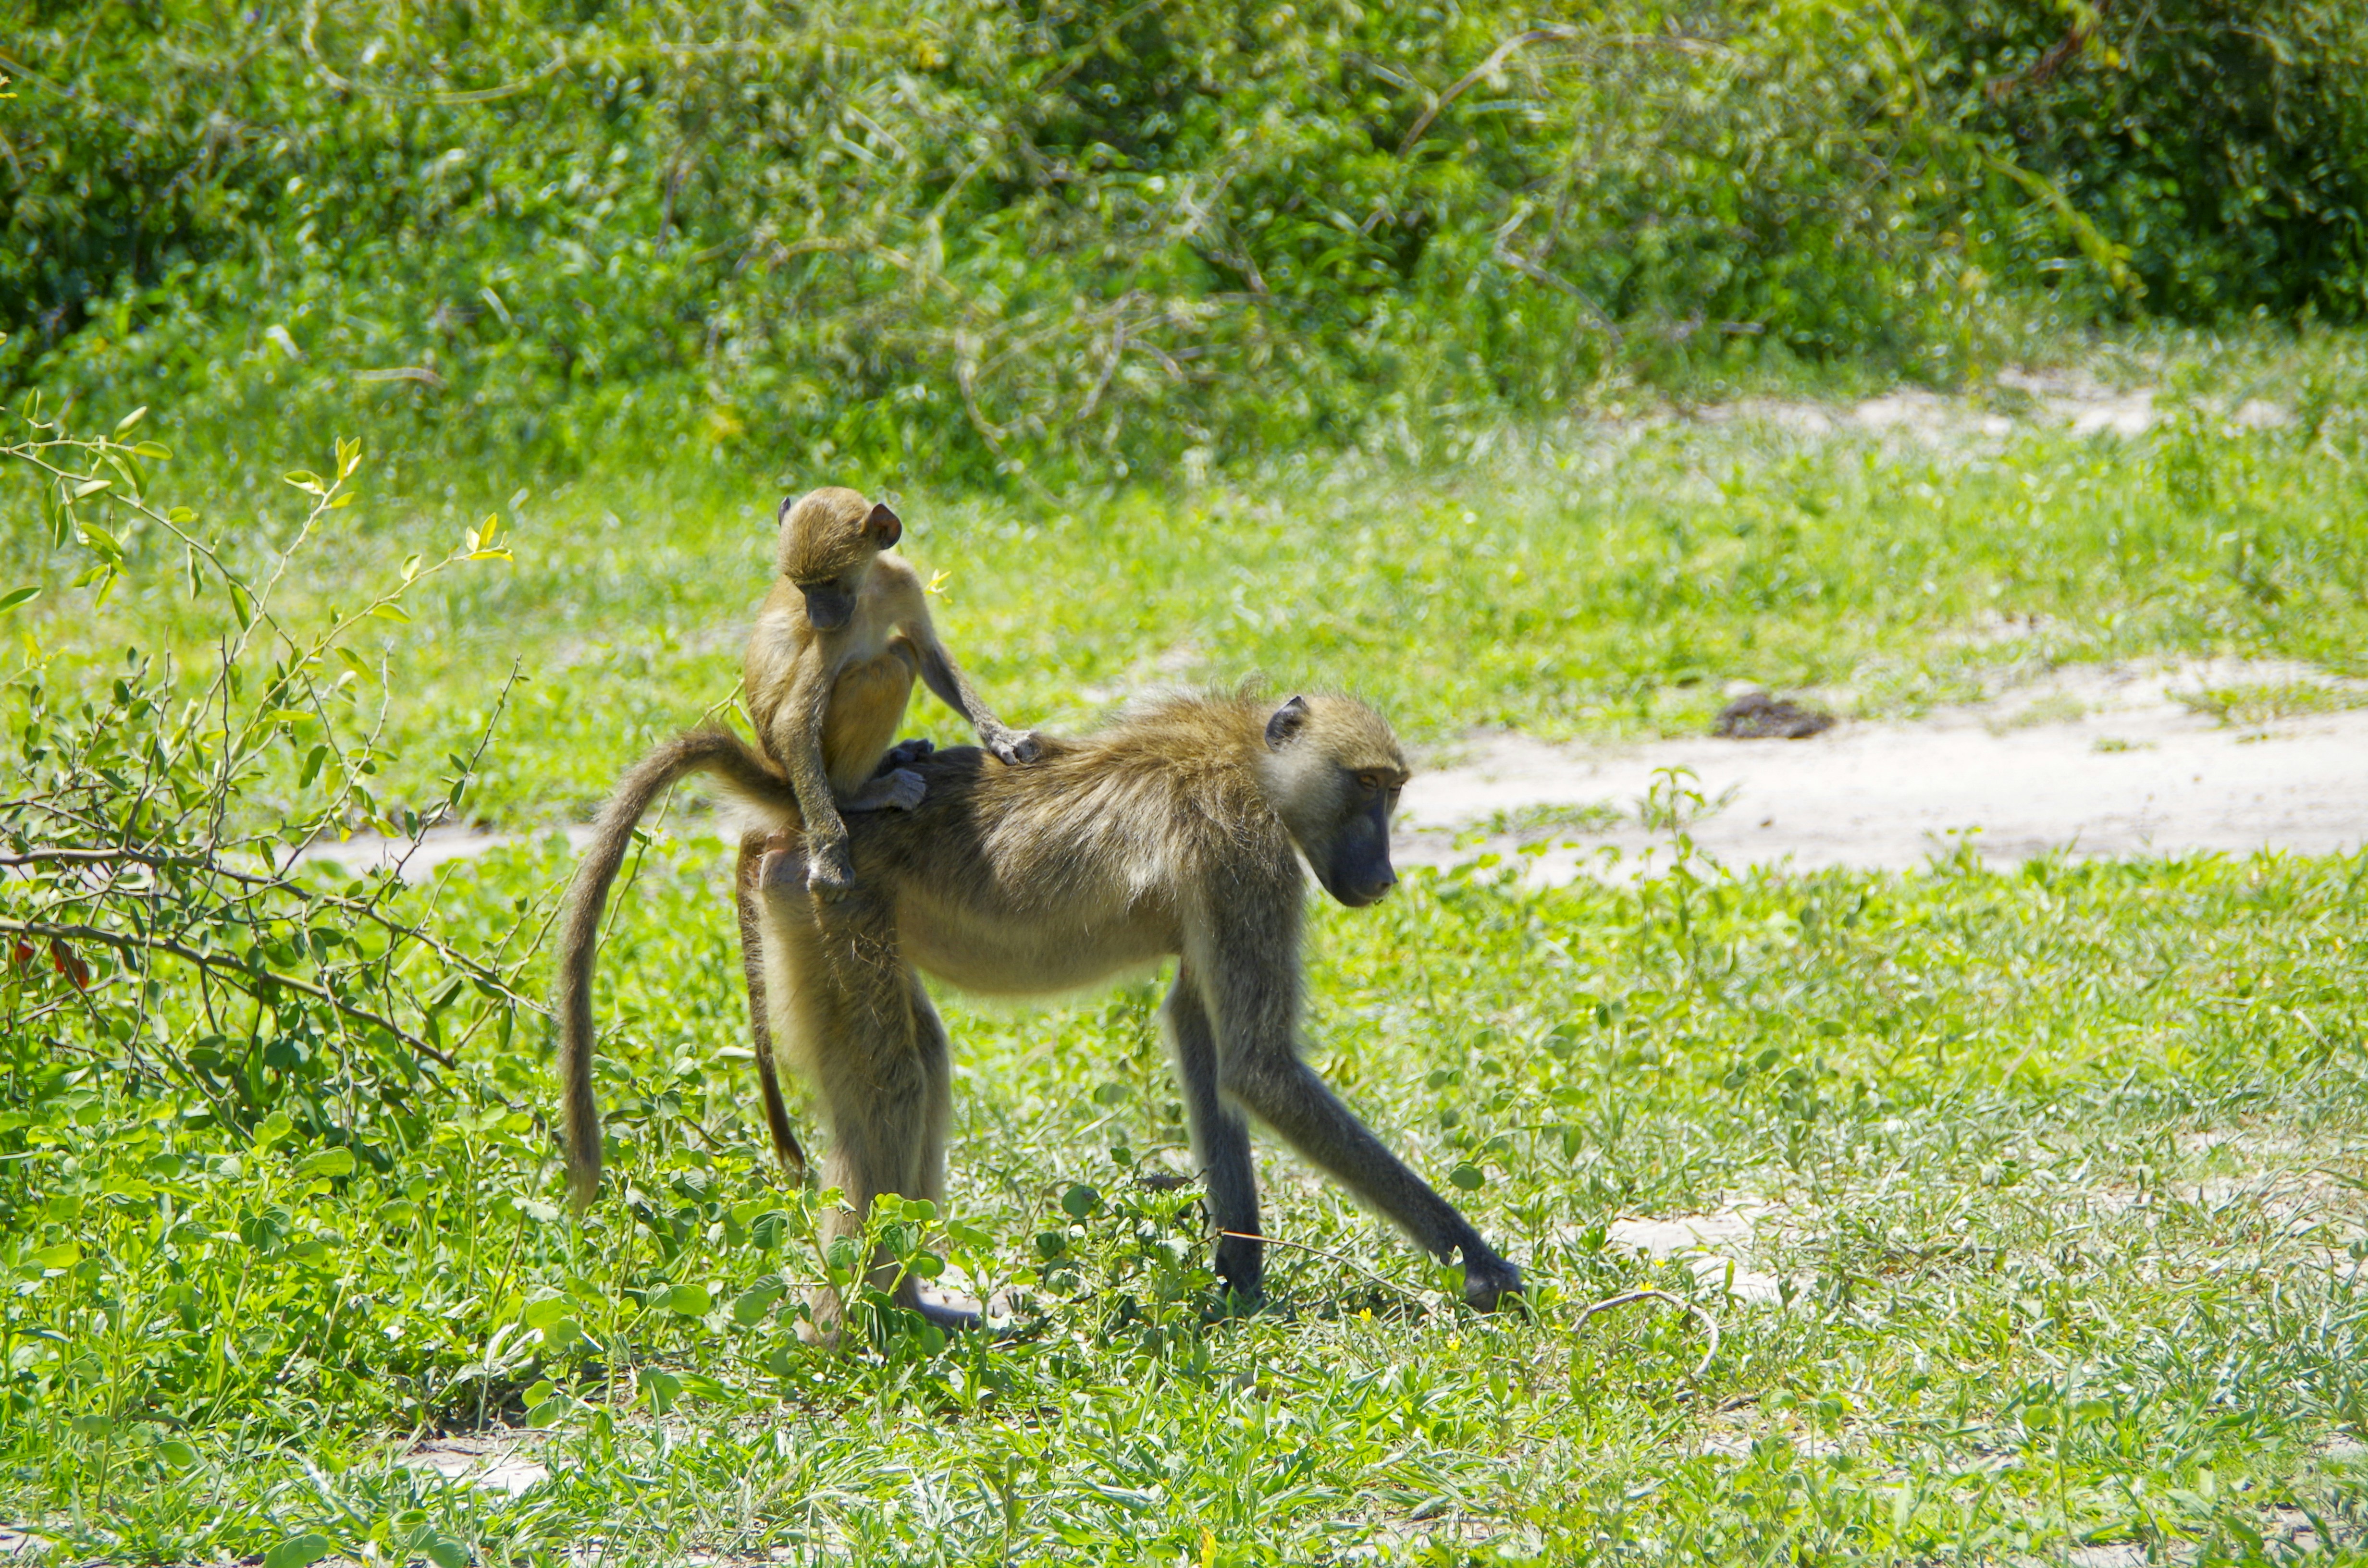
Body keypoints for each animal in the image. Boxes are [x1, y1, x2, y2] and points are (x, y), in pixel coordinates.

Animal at [558, 688, 1523, 1333]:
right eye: (1367, 788)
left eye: (1392, 792)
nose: (1384, 874)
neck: (1243, 756)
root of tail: (810, 811)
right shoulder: (1243, 849)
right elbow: (1258, 1065)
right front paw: (1482, 1268)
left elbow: (1205, 1040)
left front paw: (1237, 1276)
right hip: (831, 905)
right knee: (894, 1085)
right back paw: (861, 1327)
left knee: (919, 1062)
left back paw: (909, 1306)